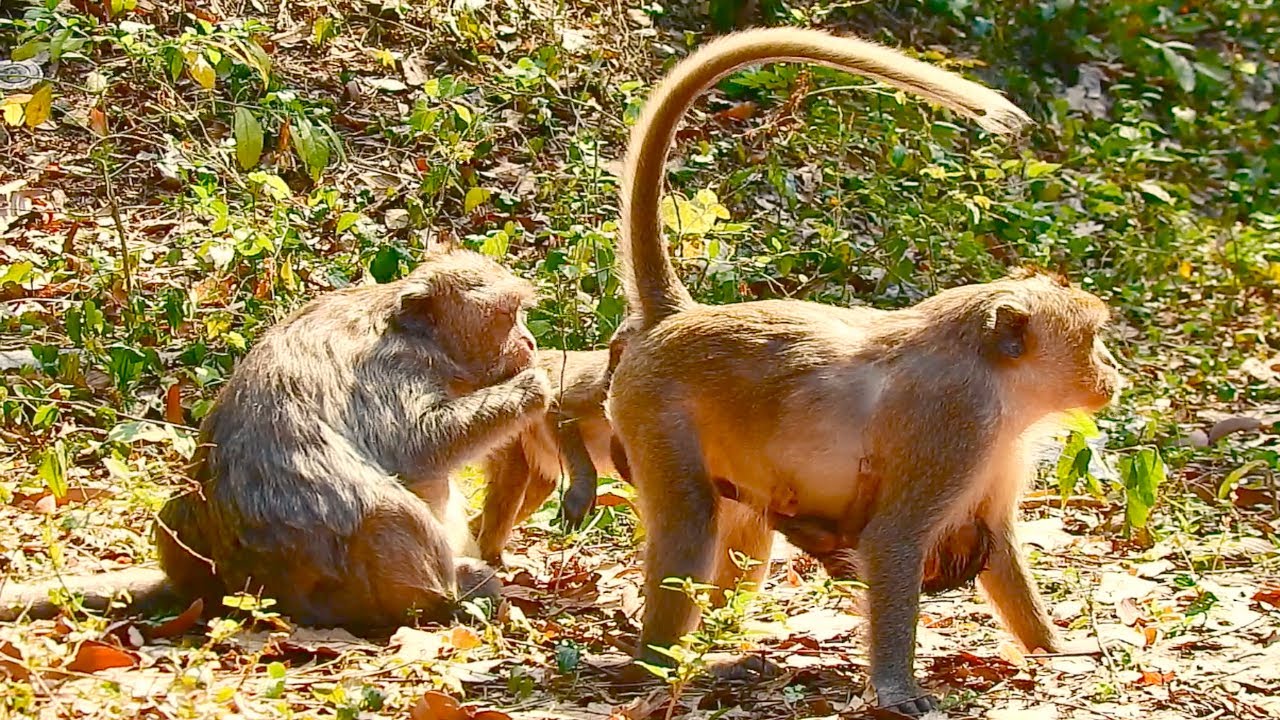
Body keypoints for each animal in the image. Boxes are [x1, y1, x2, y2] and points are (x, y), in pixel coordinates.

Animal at [2, 249, 553, 629]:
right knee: (385, 511)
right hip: (360, 591)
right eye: (507, 318)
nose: (529, 341)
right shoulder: (390, 371)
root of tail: (233, 583)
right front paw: (535, 386)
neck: (411, 331)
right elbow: (420, 448)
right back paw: (453, 595)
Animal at [603, 28, 1122, 716]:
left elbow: (998, 542)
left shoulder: (997, 446)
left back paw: (722, 650)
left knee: (744, 536)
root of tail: (674, 319)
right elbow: (894, 541)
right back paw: (661, 668)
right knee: (690, 524)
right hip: (651, 413)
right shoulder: (957, 426)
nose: (1112, 372)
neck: (996, 378)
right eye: (1094, 340)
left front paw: (1054, 649)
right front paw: (898, 688)